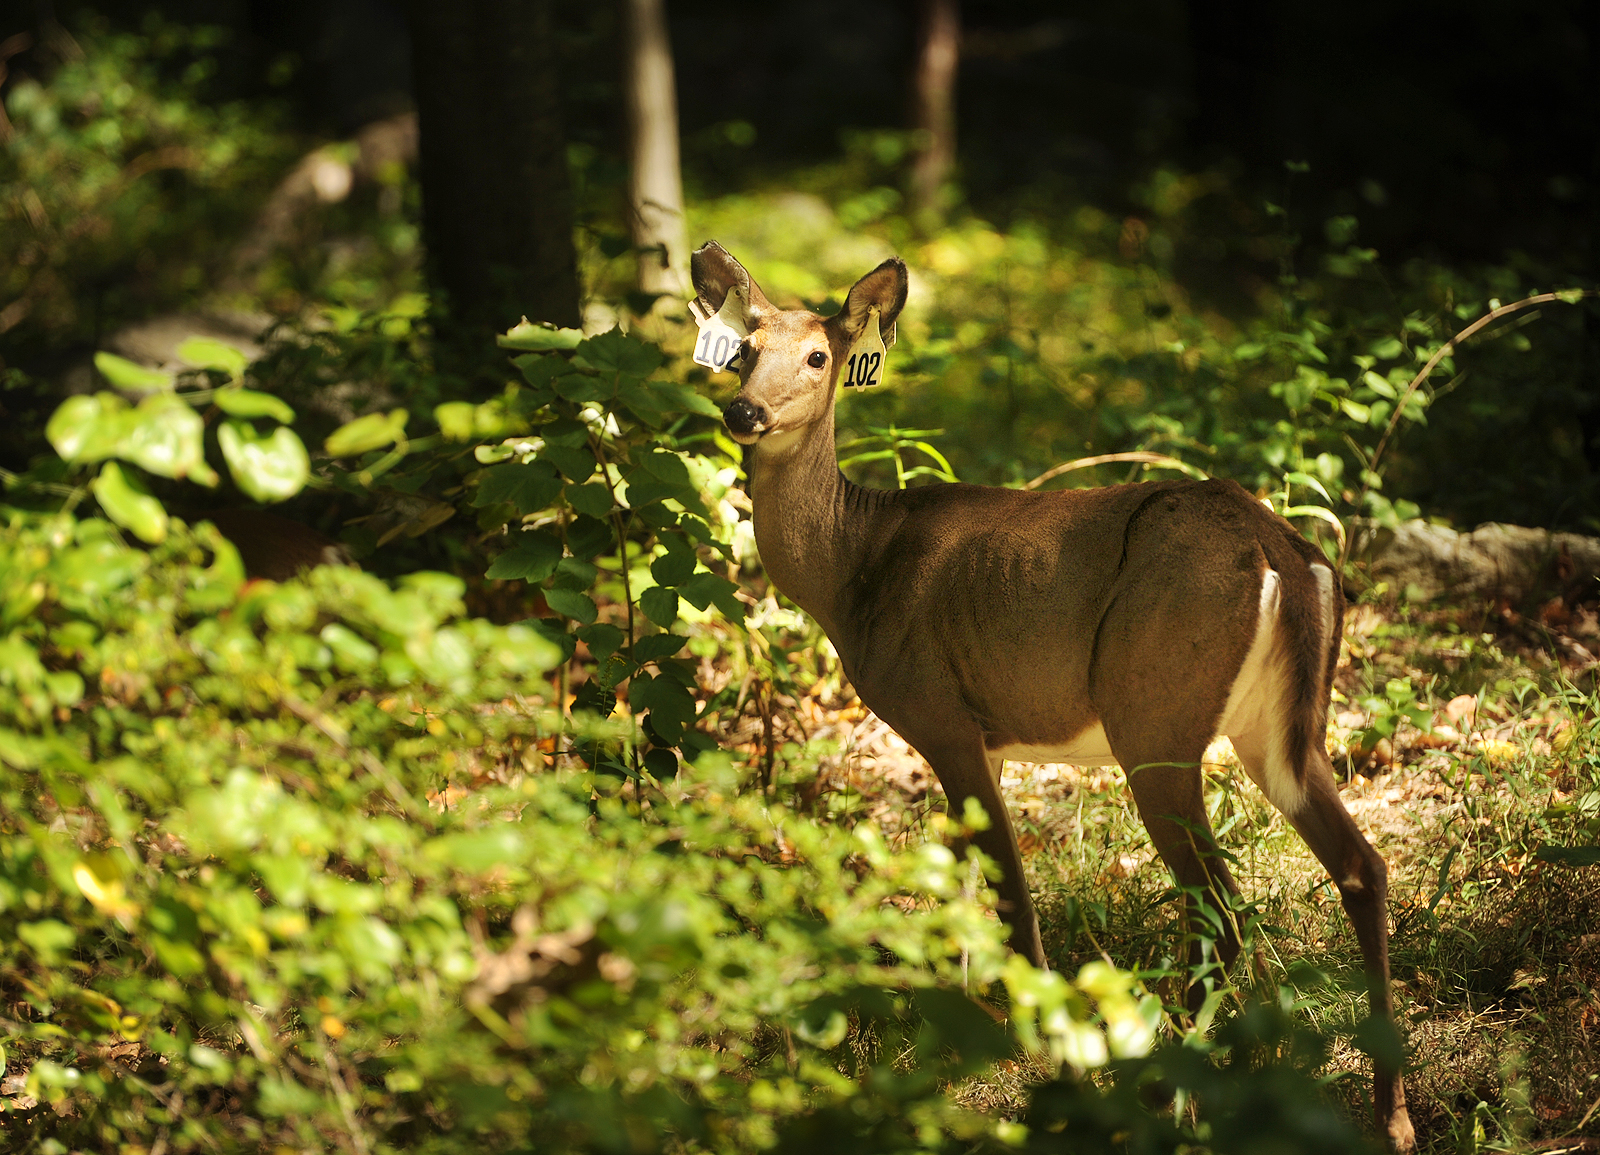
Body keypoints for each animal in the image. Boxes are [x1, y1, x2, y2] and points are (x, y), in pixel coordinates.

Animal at [690, 241, 1415, 1151]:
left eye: (820, 356)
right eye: (744, 350)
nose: (745, 411)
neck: (855, 569)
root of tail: (1281, 547)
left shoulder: (942, 715)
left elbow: (1011, 900)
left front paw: (1036, 1056)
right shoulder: (975, 739)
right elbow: (958, 886)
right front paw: (958, 1031)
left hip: (1155, 714)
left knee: (1218, 906)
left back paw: (1161, 1103)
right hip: (1284, 728)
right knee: (1361, 866)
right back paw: (1391, 1116)